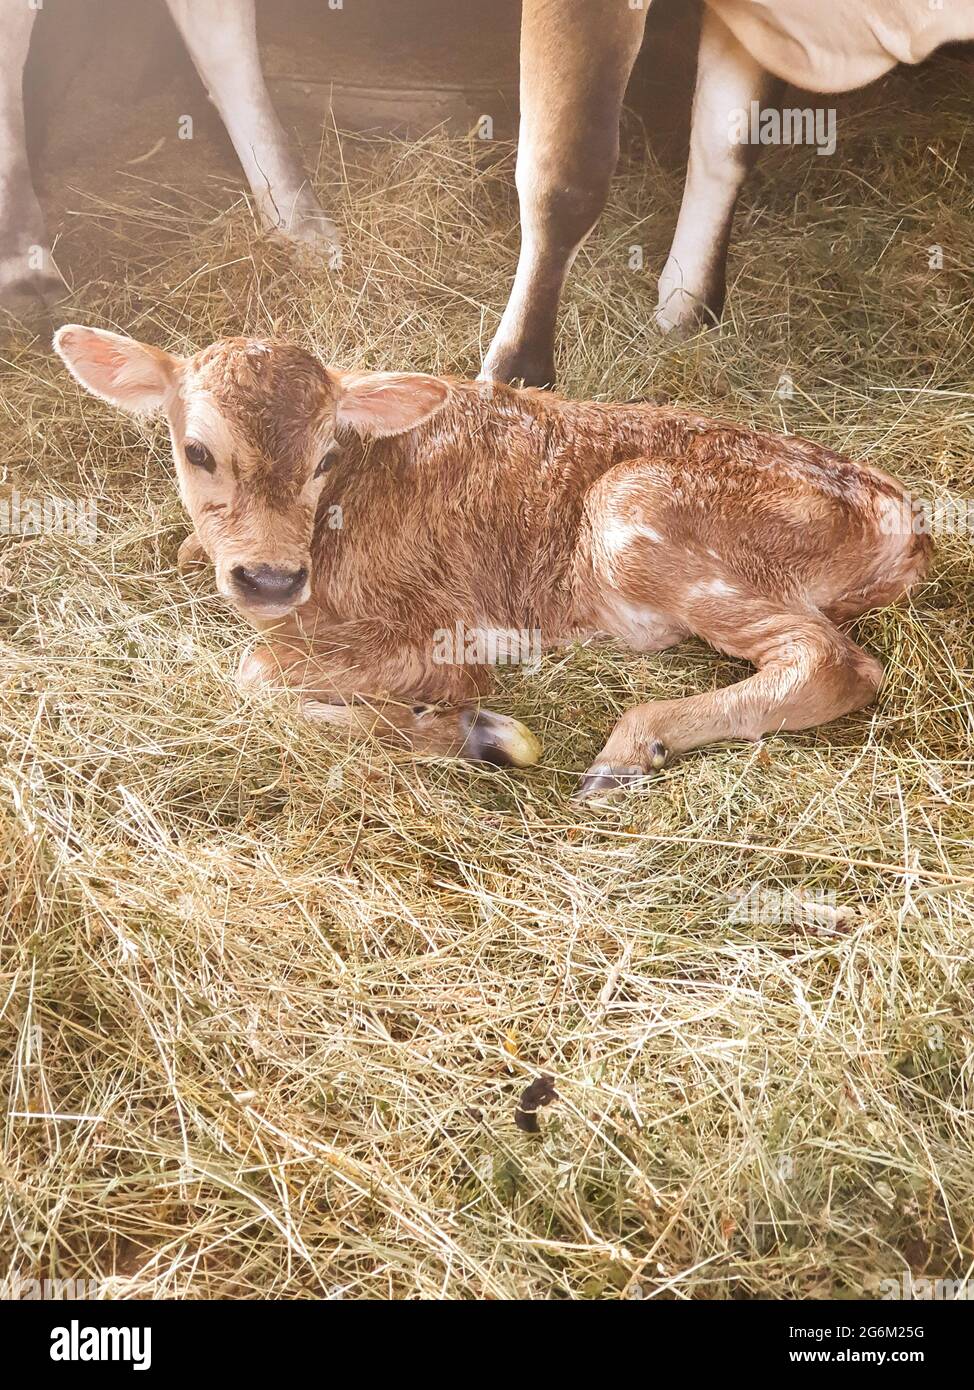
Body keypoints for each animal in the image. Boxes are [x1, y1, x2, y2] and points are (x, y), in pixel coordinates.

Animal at [52, 323, 930, 798]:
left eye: (325, 455)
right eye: (196, 451)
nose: (271, 577)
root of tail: (903, 517)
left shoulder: (434, 629)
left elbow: (255, 674)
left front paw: (478, 731)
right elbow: (187, 553)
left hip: (633, 513)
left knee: (832, 661)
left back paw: (627, 752)